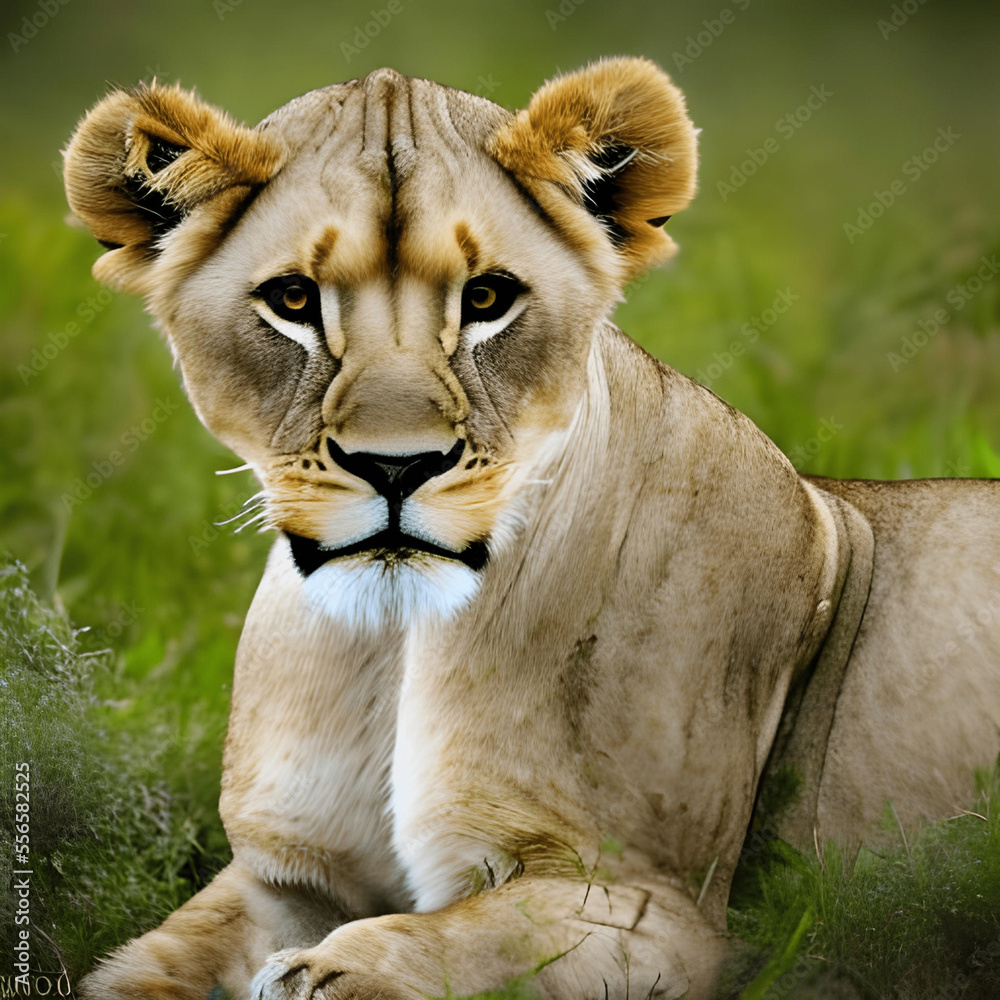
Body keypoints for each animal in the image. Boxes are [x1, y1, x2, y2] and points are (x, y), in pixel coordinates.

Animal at [62, 58, 1000, 1000]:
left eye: (487, 298)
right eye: (293, 299)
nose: (396, 467)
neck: (395, 641)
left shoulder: (652, 909)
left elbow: (444, 939)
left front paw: (320, 973)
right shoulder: (284, 874)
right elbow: (144, 962)